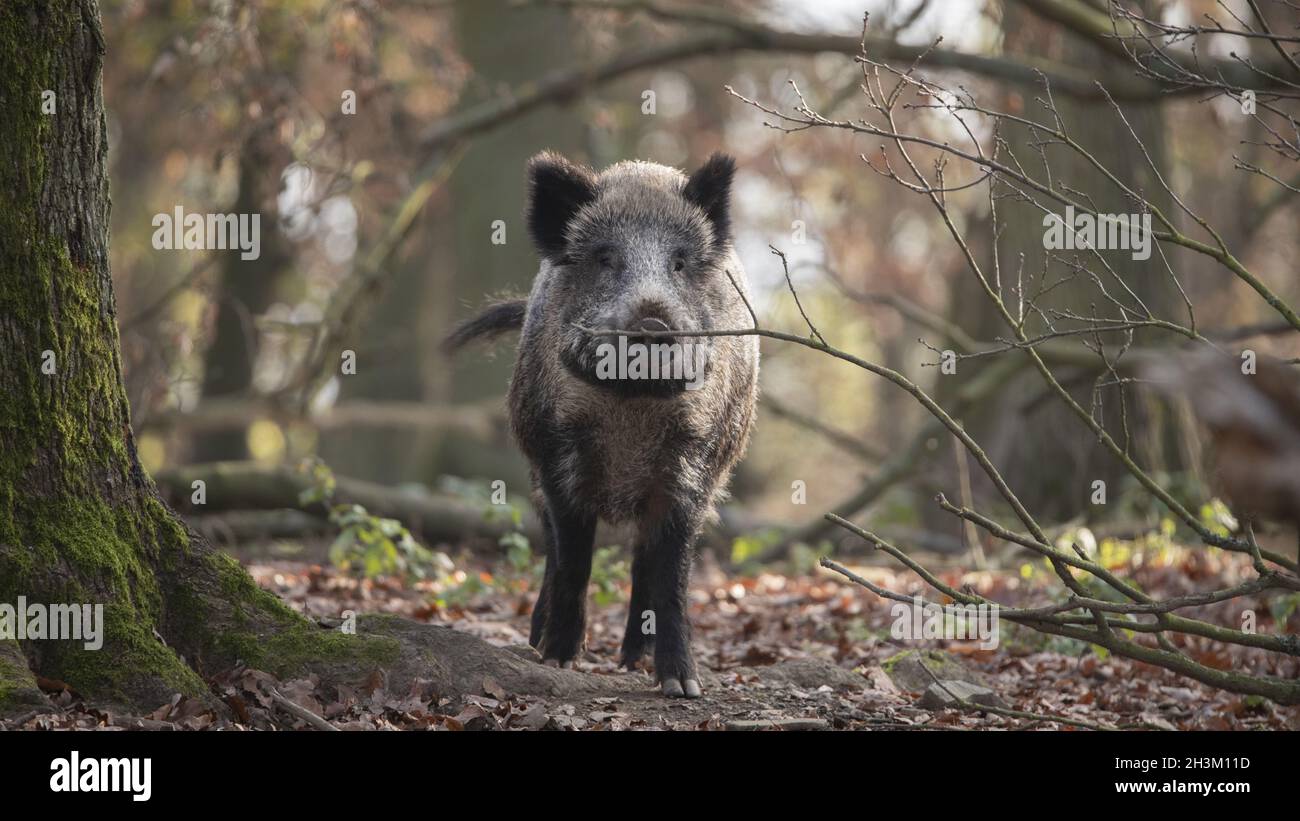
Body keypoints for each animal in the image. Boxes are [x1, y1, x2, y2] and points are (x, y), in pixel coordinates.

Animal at [446, 151, 759, 697]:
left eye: (679, 262)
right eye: (605, 258)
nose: (653, 322)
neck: (631, 406)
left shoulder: (691, 468)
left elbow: (673, 574)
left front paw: (683, 686)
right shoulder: (558, 457)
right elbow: (575, 558)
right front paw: (557, 659)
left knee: (642, 559)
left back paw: (634, 660)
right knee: (555, 550)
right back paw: (538, 640)